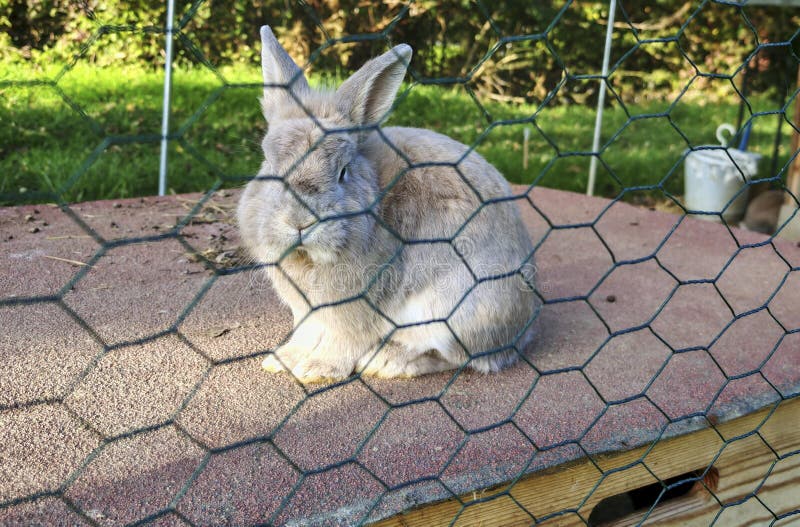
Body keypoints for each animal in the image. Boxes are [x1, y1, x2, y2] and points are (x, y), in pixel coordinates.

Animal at [237, 25, 539, 383]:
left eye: (343, 172)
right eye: (269, 164)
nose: (300, 221)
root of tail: (524, 328)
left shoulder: (354, 308)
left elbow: (341, 341)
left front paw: (317, 370)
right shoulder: (308, 312)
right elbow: (308, 332)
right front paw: (285, 359)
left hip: (458, 311)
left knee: (456, 357)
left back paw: (386, 361)